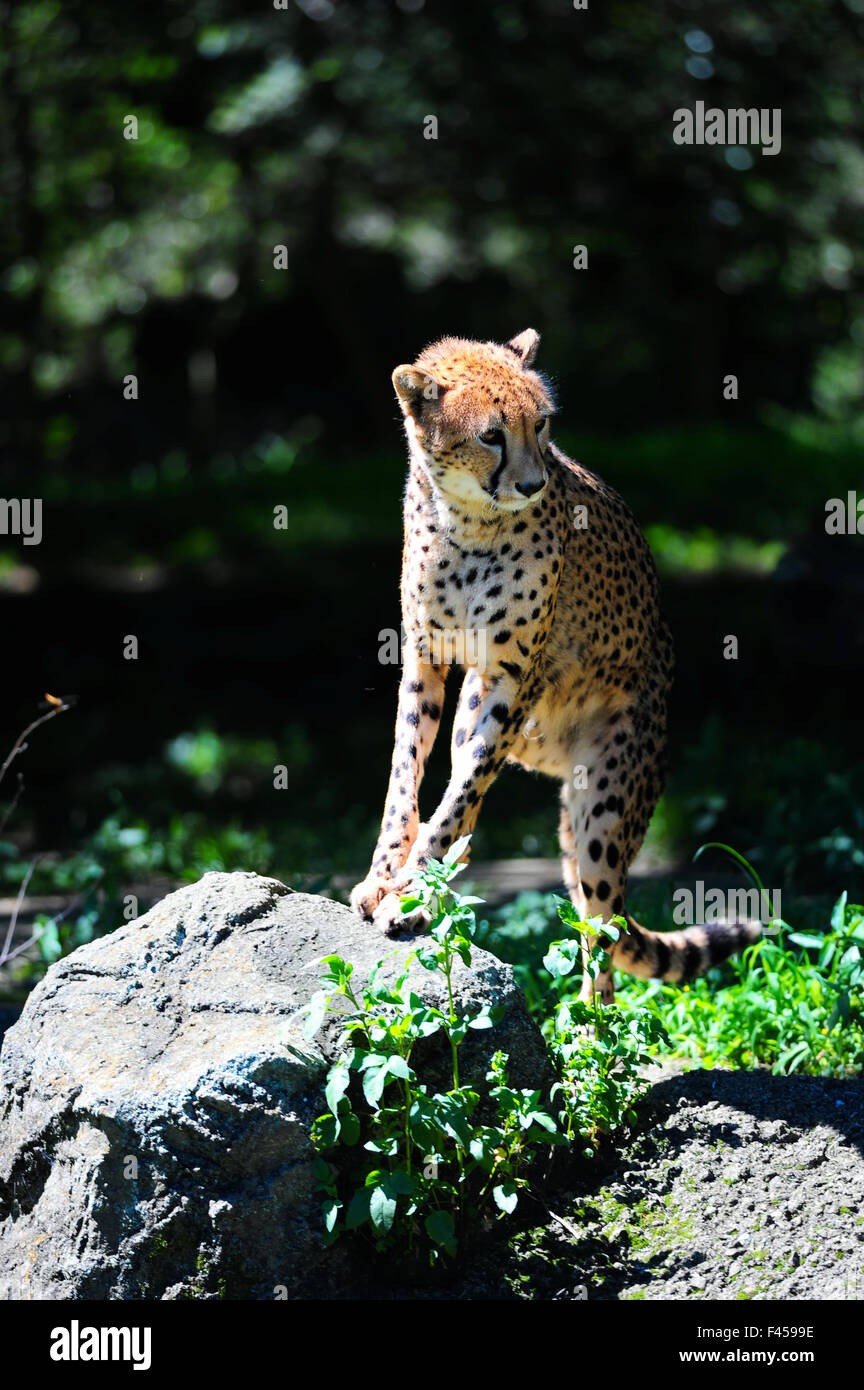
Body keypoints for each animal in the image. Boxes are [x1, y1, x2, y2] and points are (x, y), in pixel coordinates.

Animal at [351, 329, 760, 1002]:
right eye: (491, 434)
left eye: (539, 424)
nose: (532, 484)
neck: (467, 521)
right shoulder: (425, 663)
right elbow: (404, 781)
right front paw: (385, 875)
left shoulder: (515, 678)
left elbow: (454, 802)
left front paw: (406, 890)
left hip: (605, 808)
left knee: (603, 934)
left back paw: (588, 1023)